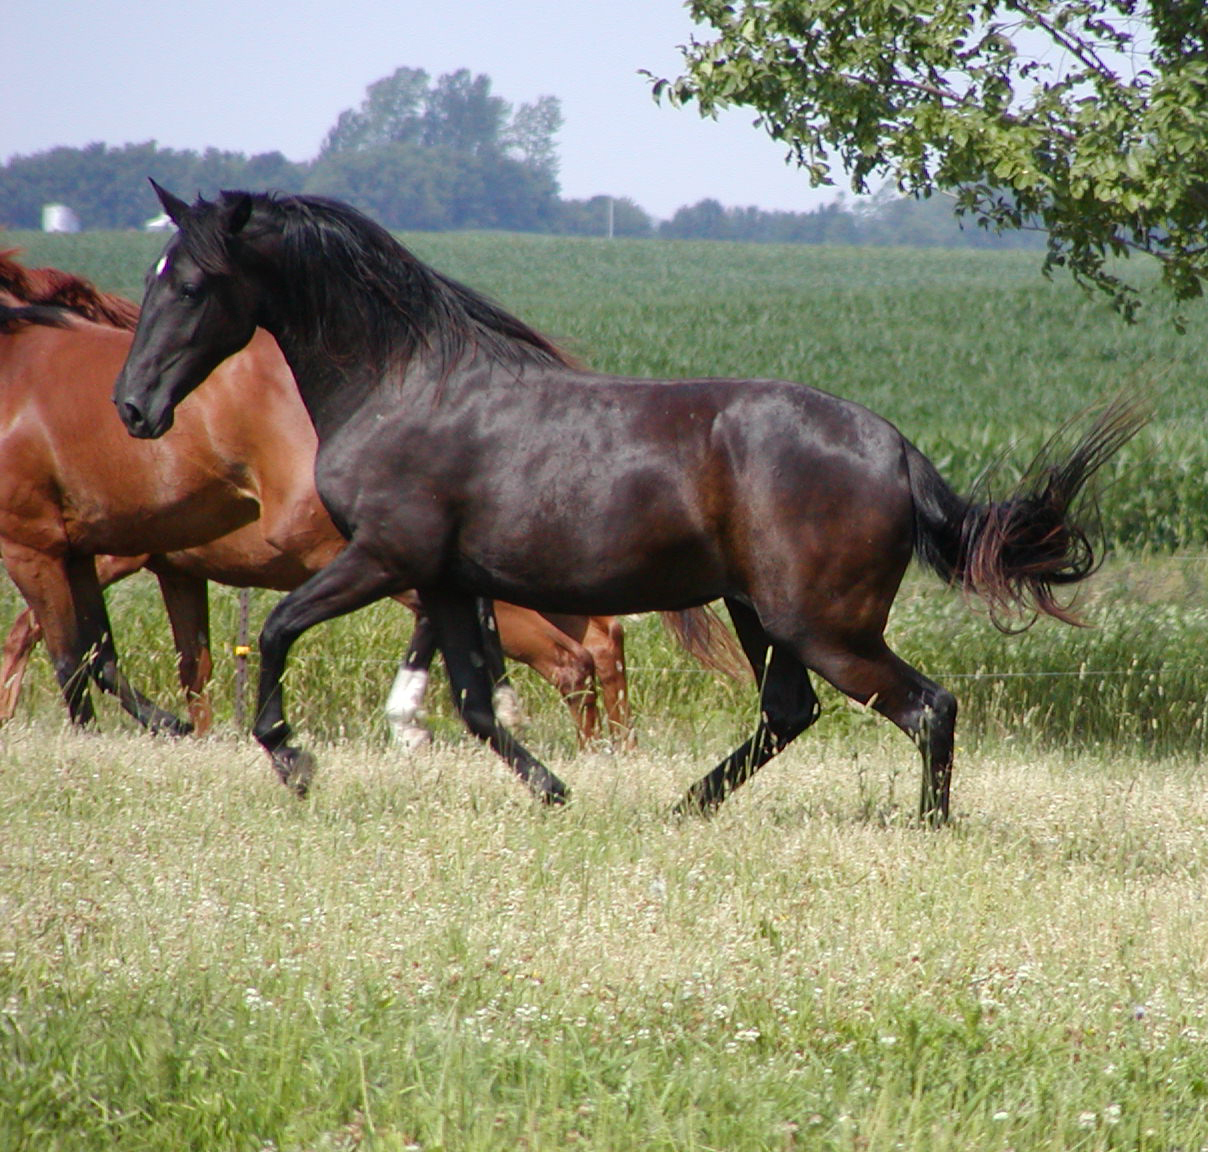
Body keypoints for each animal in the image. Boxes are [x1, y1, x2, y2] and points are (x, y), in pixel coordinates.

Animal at [0, 256, 667, 744]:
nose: (135, 409)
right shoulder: (154, 565)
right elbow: (173, 663)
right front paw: (193, 731)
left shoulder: (51, 545)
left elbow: (59, 647)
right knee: (596, 642)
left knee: (569, 659)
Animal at [114, 185, 1144, 821]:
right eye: (153, 275)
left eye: (195, 282)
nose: (133, 407)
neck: (404, 383)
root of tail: (897, 452)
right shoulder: (445, 578)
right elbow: (475, 701)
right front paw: (554, 792)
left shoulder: (383, 557)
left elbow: (279, 628)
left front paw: (292, 760)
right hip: (761, 612)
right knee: (791, 713)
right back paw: (685, 806)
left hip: (823, 624)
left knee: (928, 708)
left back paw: (922, 828)